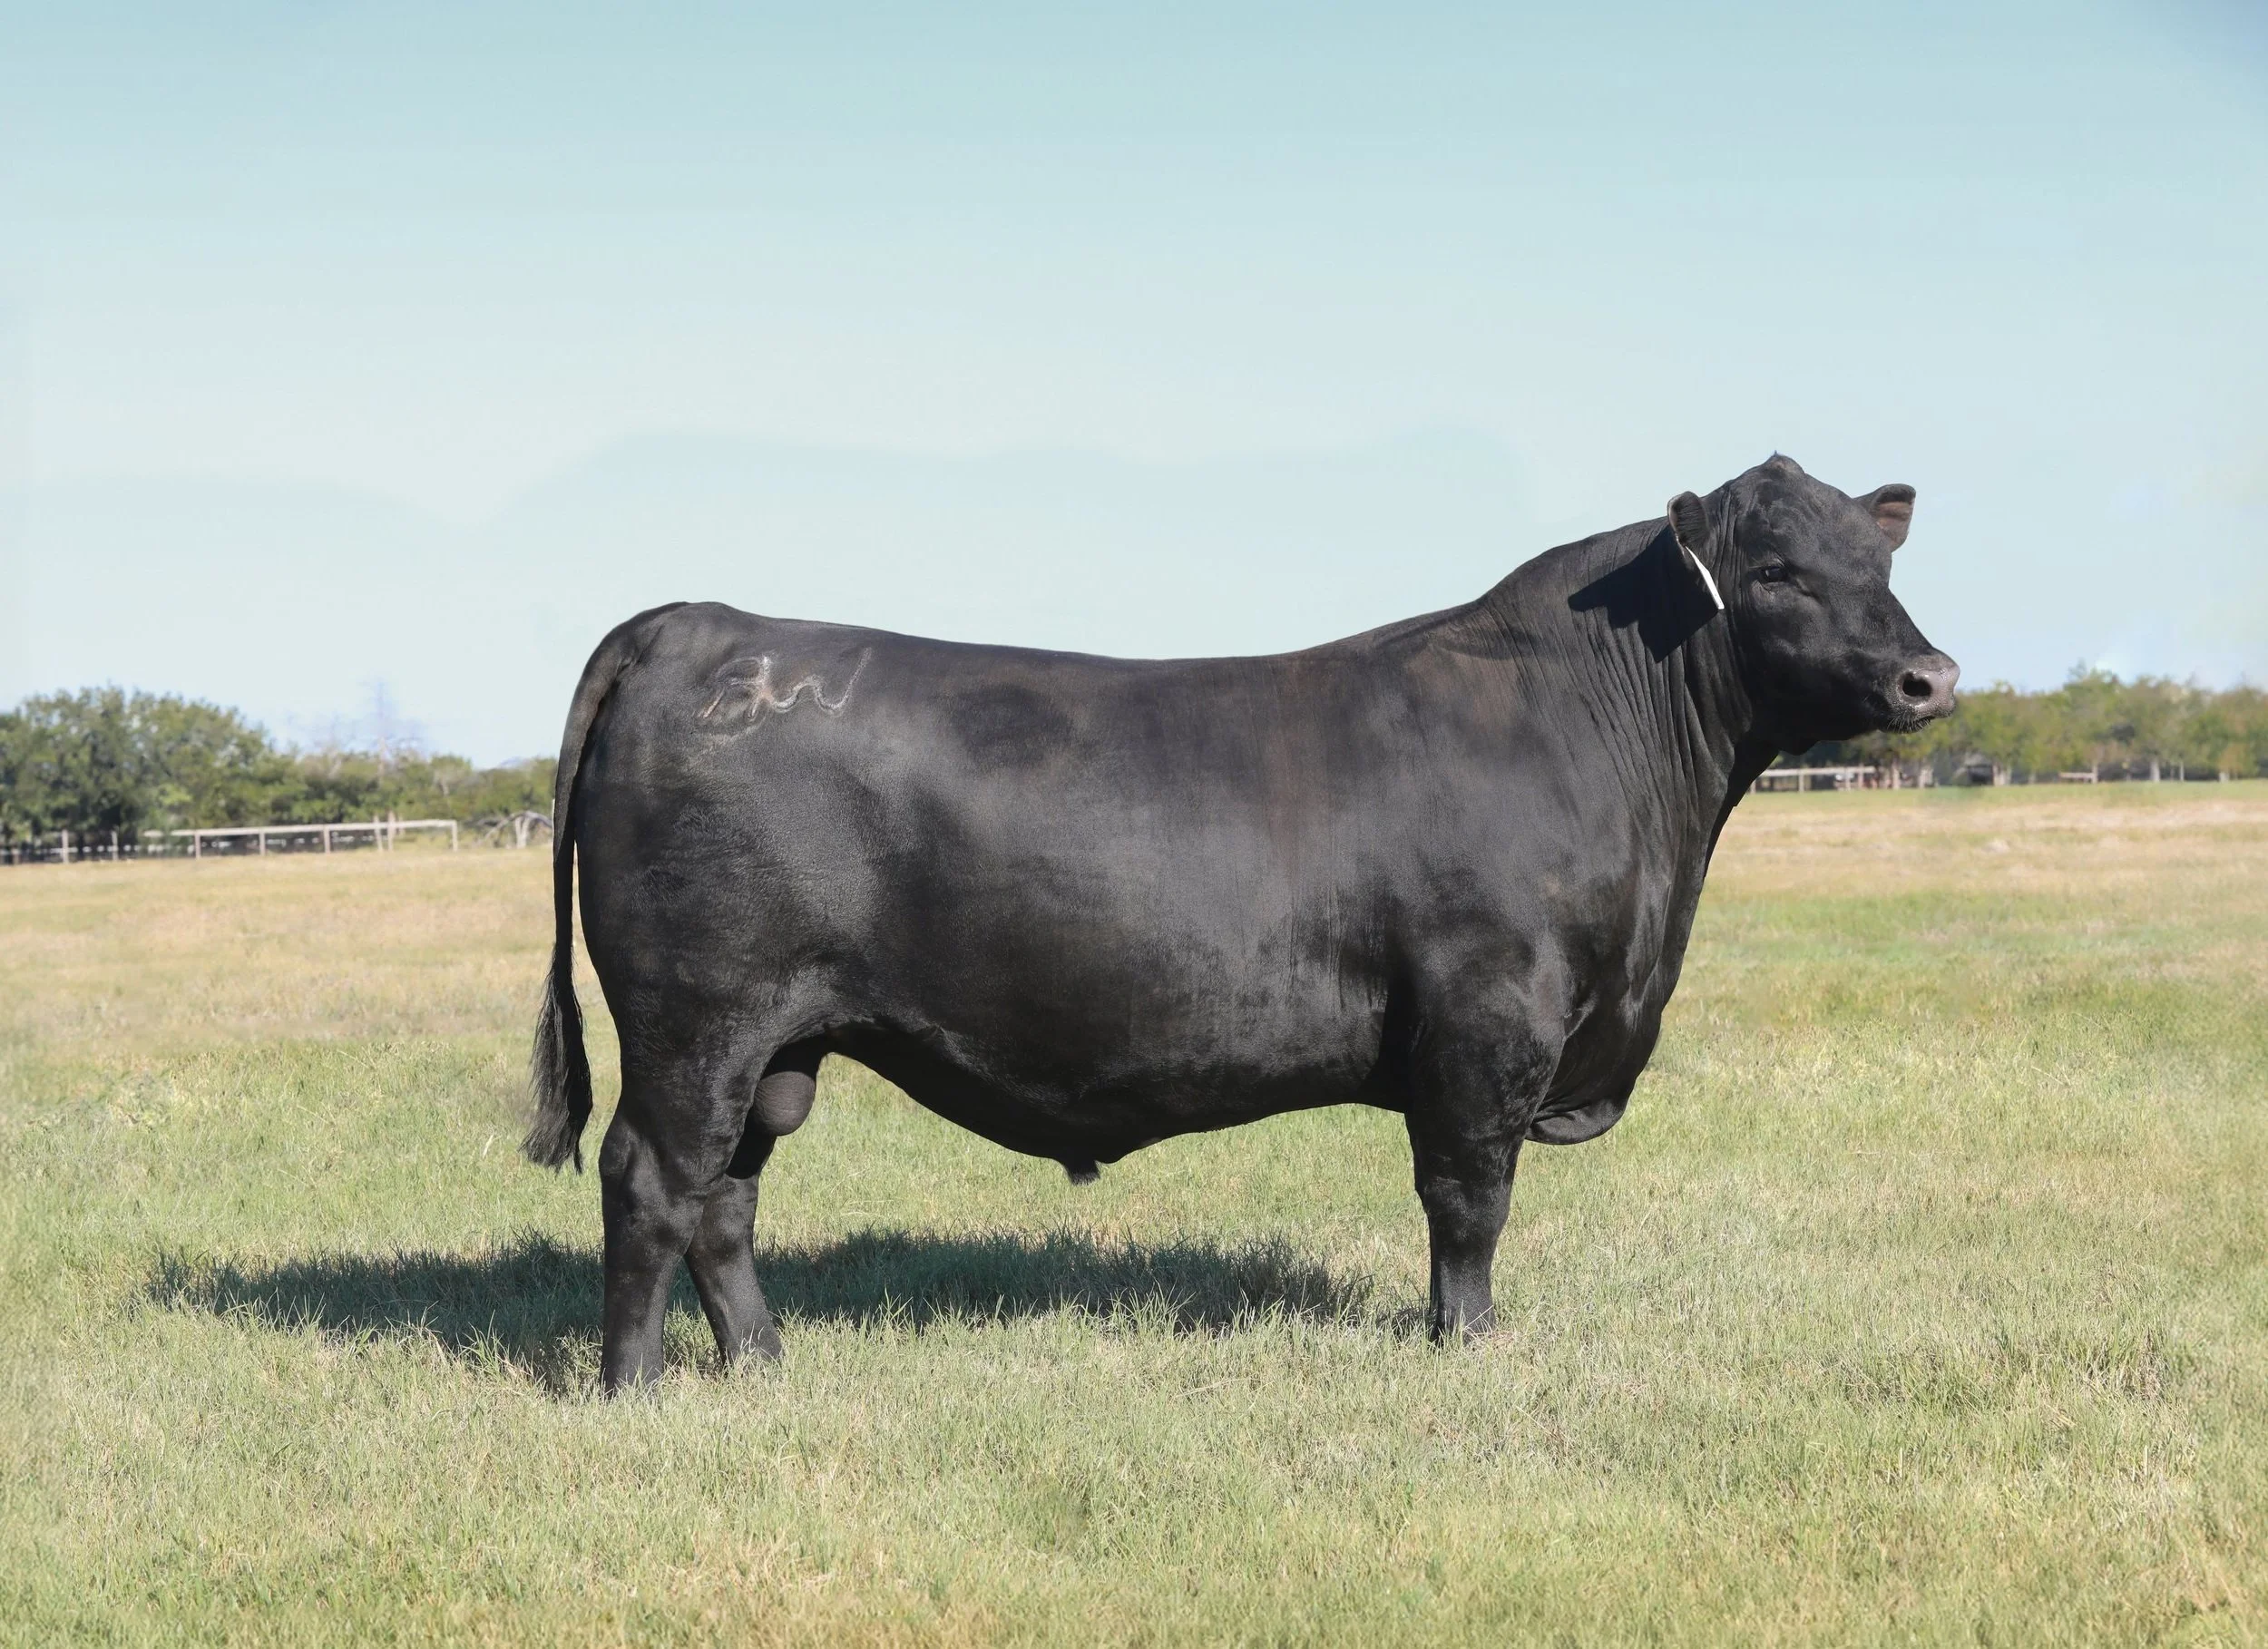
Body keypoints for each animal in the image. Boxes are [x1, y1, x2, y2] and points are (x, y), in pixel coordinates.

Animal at [525, 453, 1957, 1391]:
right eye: (1774, 570)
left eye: (1880, 562)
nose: (1927, 676)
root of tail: (696, 622)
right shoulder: (1489, 1023)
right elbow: (1468, 1201)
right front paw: (1467, 1343)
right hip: (696, 1020)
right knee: (650, 1179)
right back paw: (633, 1388)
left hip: (777, 1043)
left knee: (725, 1197)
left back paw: (766, 1363)